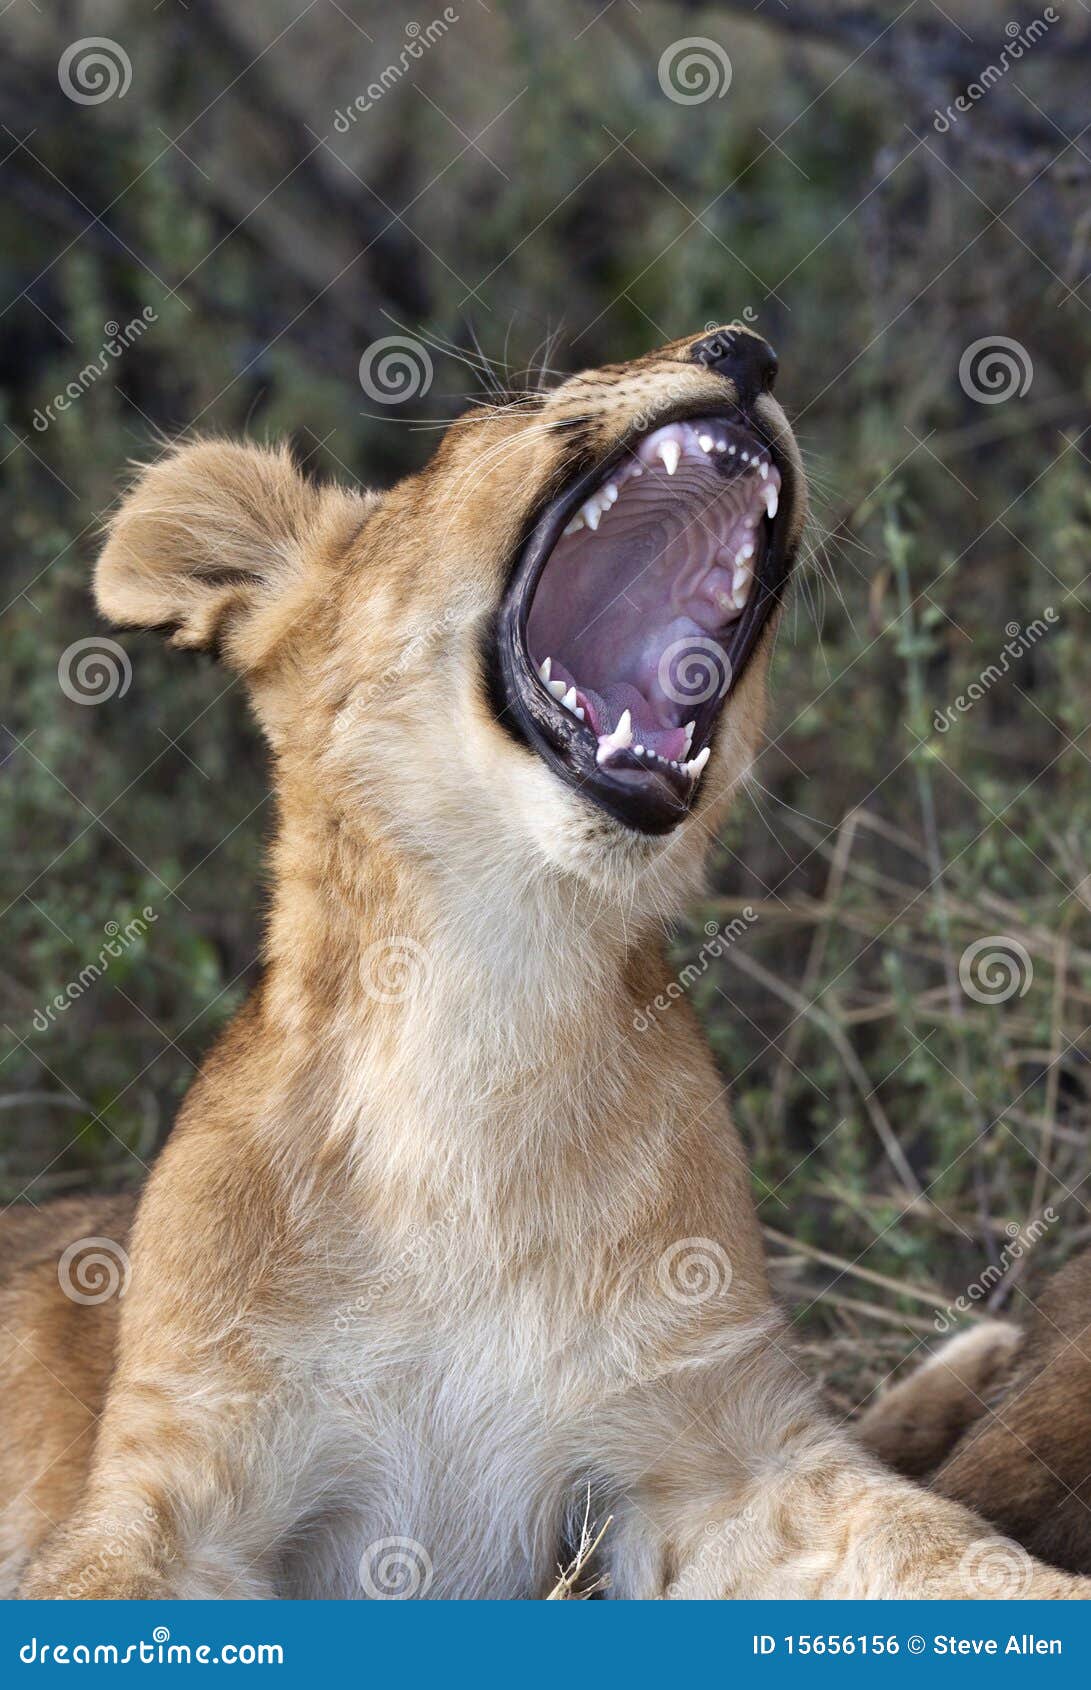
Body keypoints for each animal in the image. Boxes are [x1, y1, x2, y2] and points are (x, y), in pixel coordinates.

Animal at [3, 325, 1087, 1599]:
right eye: (503, 412)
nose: (744, 349)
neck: (490, 995)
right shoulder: (172, 1492)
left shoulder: (723, 1457)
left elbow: (952, 1554)